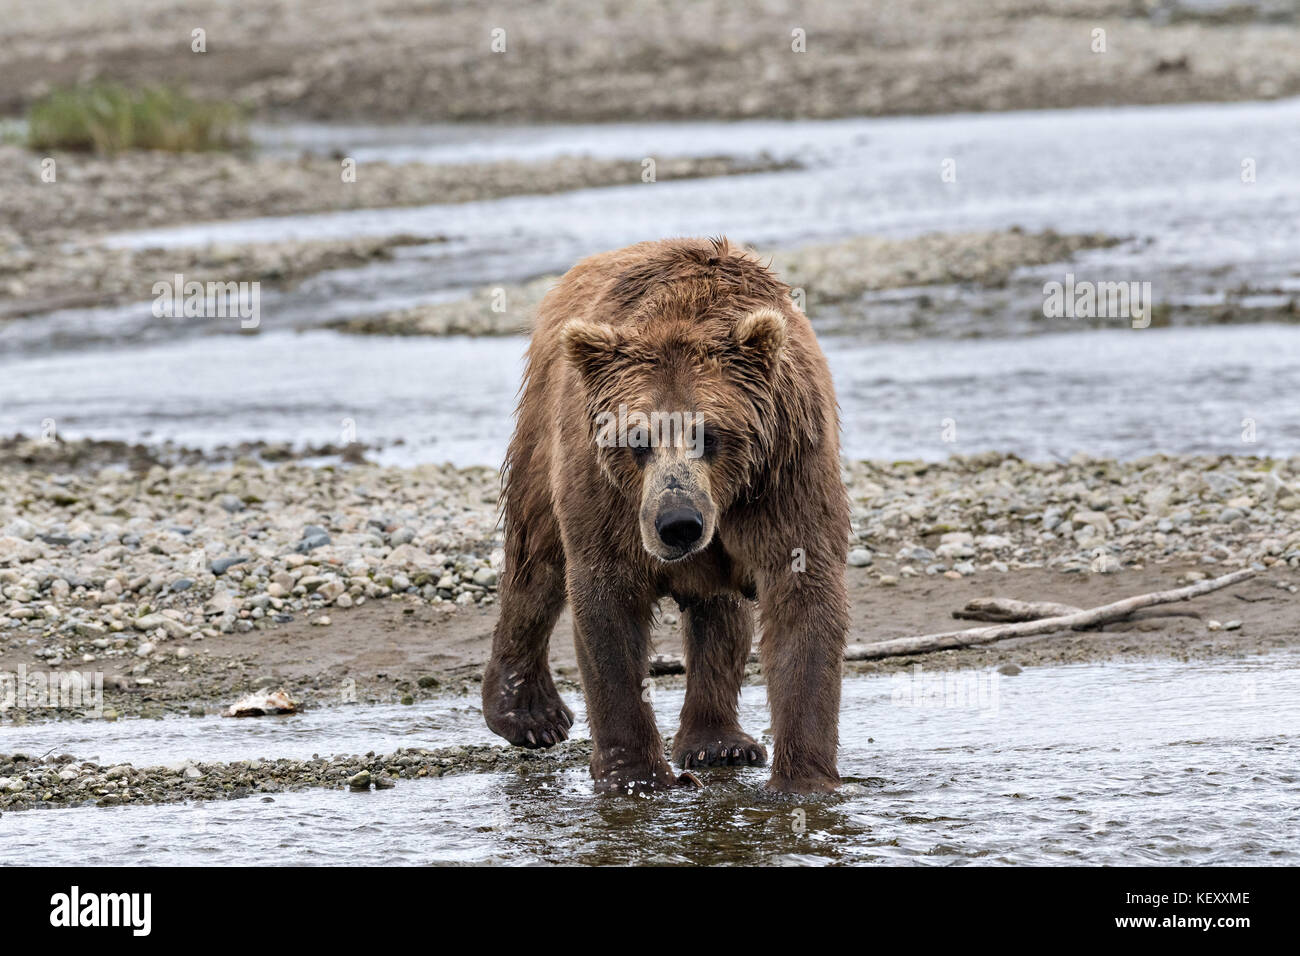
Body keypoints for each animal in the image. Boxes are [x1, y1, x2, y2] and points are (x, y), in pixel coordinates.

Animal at [481, 237, 850, 795]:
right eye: (637, 439)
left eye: (708, 434)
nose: (678, 523)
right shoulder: (608, 497)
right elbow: (607, 605)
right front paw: (634, 777)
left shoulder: (784, 473)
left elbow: (802, 597)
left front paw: (803, 781)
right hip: (542, 428)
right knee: (536, 559)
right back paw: (530, 715)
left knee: (719, 611)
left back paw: (719, 742)